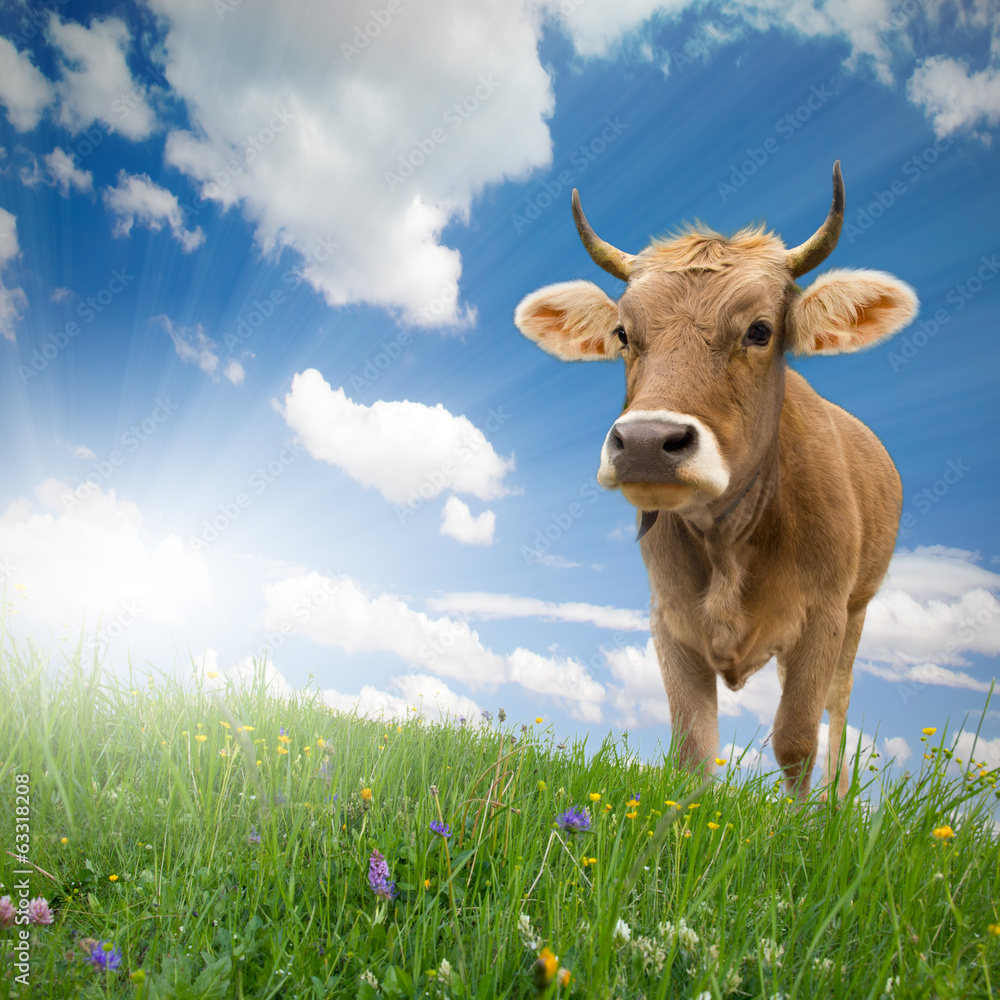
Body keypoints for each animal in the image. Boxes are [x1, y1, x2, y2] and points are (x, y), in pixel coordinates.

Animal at [514, 163, 917, 799]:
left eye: (760, 330)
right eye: (623, 333)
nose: (647, 443)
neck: (729, 540)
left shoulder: (824, 615)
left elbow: (796, 741)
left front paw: (804, 824)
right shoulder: (671, 621)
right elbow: (693, 749)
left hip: (858, 610)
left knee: (838, 707)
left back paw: (835, 802)